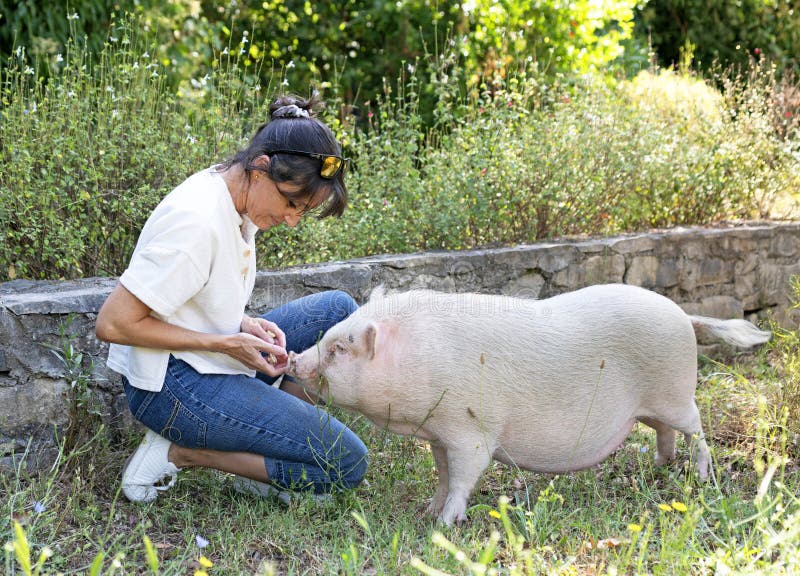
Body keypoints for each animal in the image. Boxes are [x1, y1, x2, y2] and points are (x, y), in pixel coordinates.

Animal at [286, 283, 771, 526]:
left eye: (340, 349)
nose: (294, 358)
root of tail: (683, 314)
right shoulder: (439, 434)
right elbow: (442, 476)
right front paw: (427, 511)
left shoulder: (471, 429)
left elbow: (465, 476)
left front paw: (445, 525)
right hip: (652, 405)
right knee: (664, 432)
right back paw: (660, 467)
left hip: (676, 392)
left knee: (697, 429)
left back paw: (701, 478)